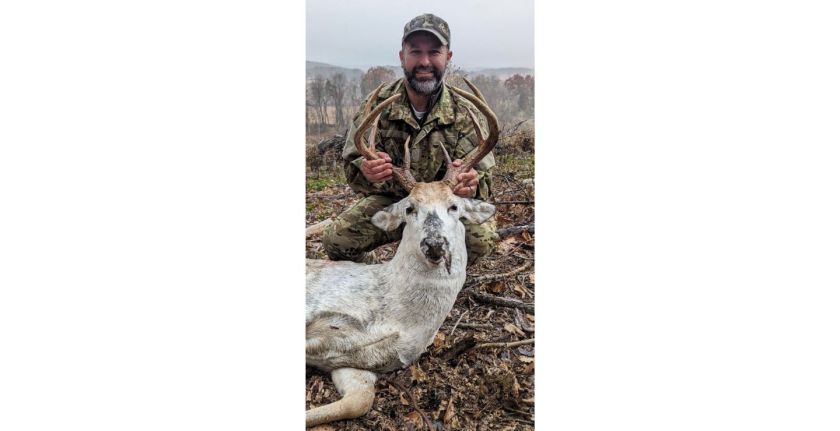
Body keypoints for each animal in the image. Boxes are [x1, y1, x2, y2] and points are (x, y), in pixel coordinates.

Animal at [306, 78, 499, 427]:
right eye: (410, 208)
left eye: (454, 207)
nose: (434, 245)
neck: (398, 316)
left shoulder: (353, 364)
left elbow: (358, 402)